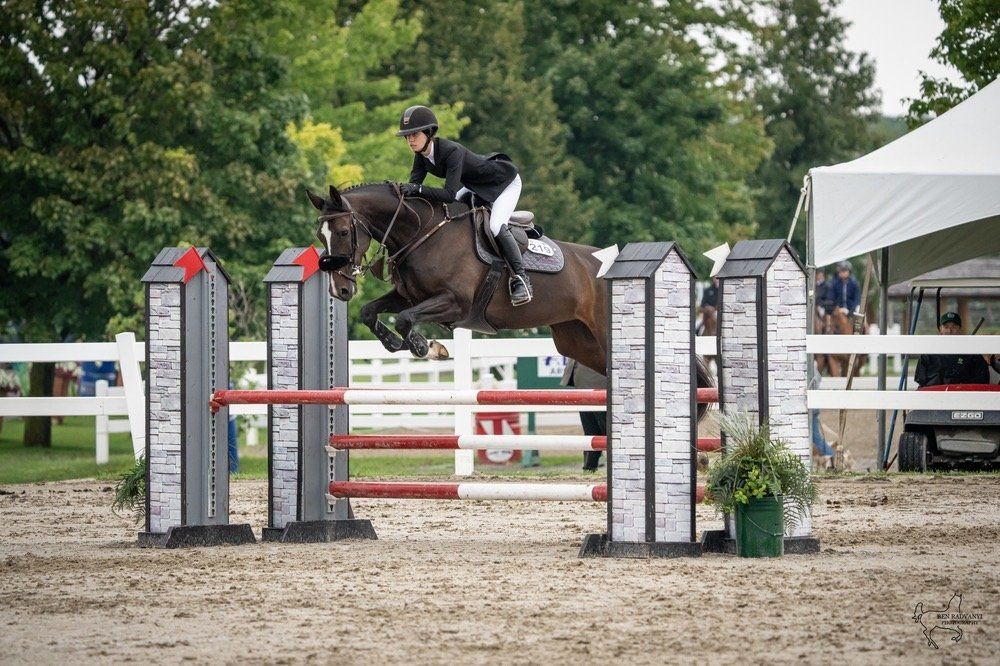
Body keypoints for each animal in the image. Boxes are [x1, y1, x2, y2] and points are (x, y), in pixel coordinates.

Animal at [306, 183, 714, 415]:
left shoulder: (454, 303)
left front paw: (427, 347)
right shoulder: (409, 295)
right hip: (578, 341)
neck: (421, 231)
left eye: (342, 230)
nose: (339, 290)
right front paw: (395, 343)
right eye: (320, 234)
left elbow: (407, 319)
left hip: (604, 332)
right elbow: (370, 311)